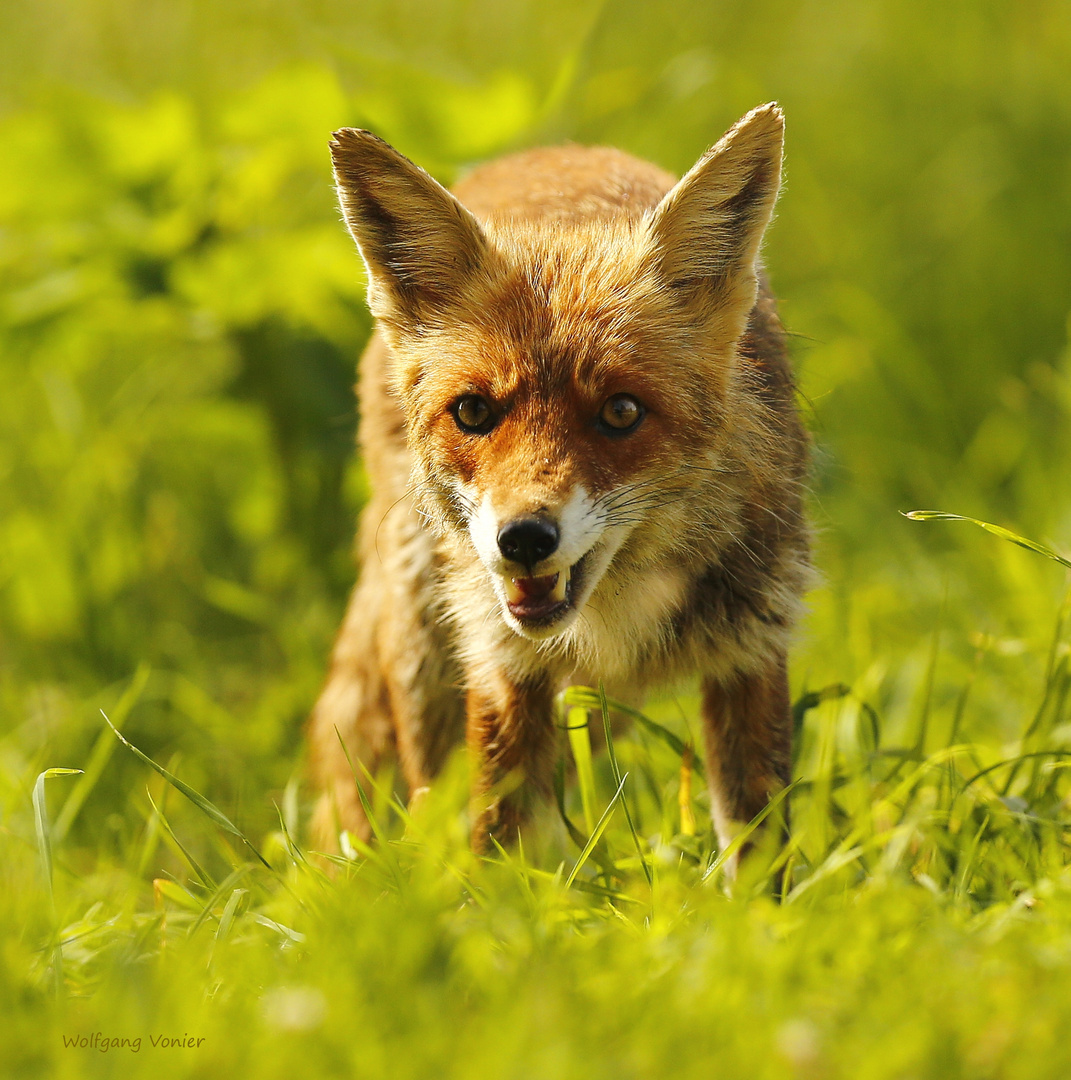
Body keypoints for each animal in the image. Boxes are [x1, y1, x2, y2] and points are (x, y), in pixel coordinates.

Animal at [308, 103, 811, 860]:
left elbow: (754, 856)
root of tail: (544, 153)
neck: (613, 616)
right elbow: (497, 848)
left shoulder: (752, 649)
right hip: (426, 648)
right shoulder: (500, 663)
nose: (521, 539)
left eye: (621, 412)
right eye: (473, 412)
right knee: (426, 803)